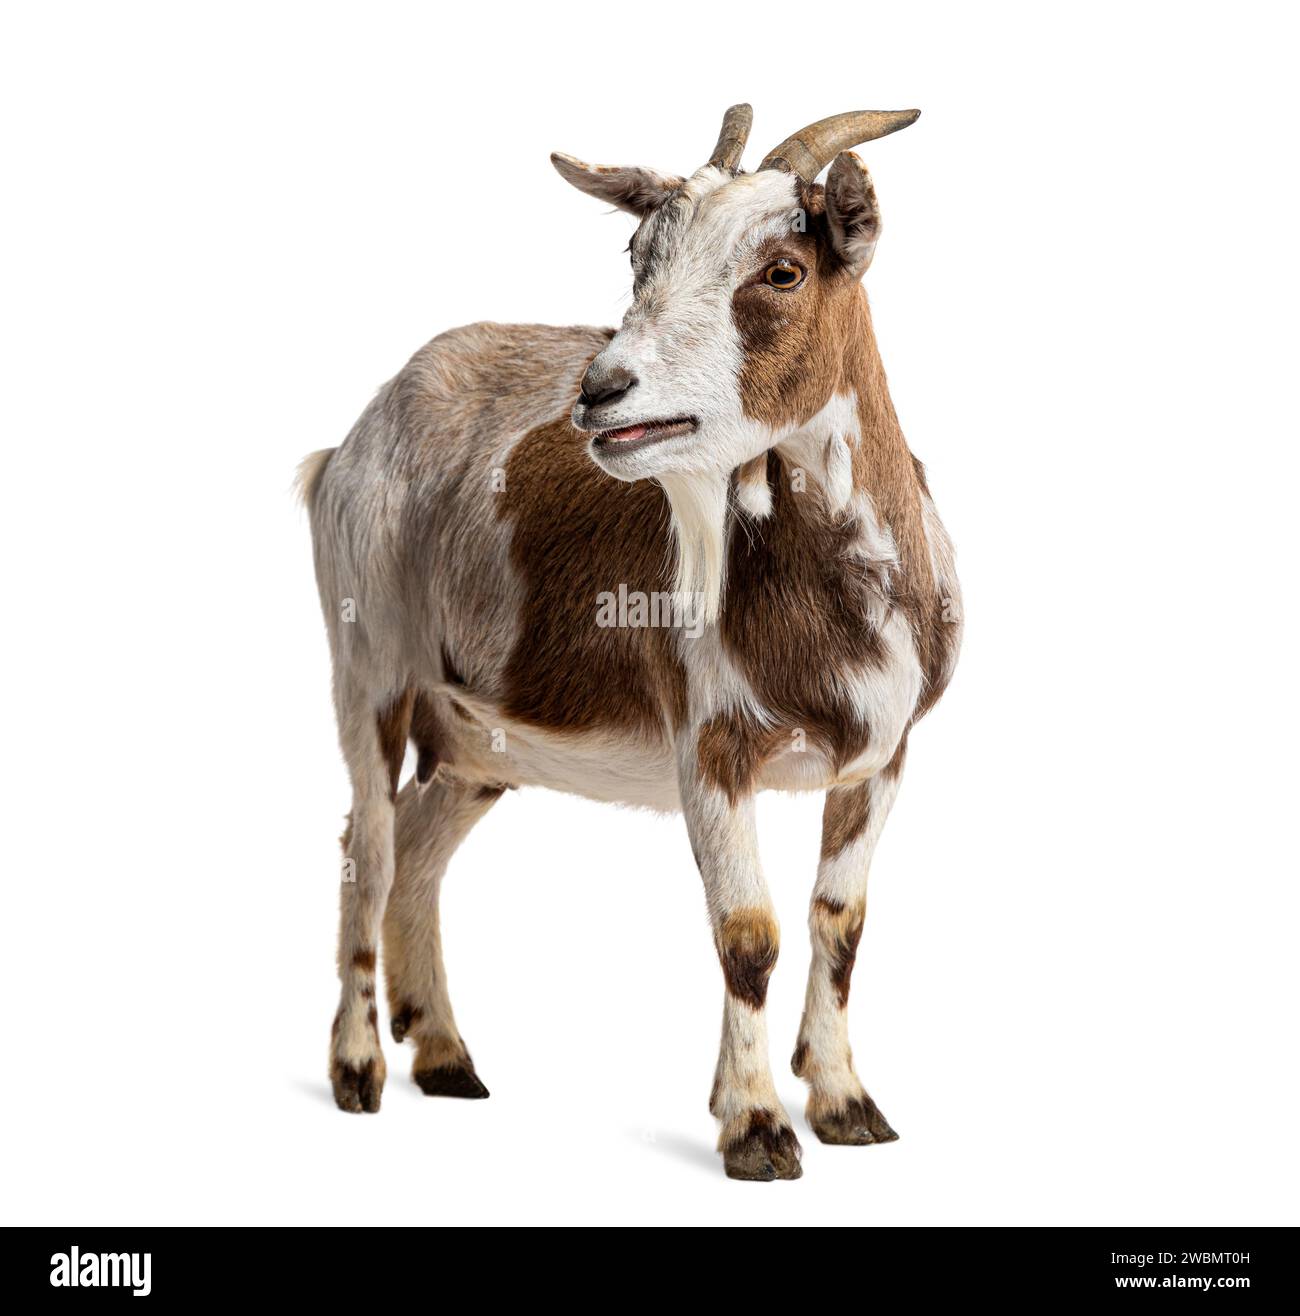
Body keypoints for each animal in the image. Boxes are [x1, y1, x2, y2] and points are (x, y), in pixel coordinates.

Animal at [300, 105, 961, 1181]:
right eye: (638, 255)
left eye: (784, 269)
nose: (604, 390)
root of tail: (349, 444)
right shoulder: (709, 741)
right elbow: (748, 933)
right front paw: (757, 1129)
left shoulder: (886, 754)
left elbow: (840, 923)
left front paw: (845, 1103)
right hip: (370, 661)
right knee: (371, 840)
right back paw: (358, 1068)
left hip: (480, 737)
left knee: (422, 844)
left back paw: (443, 1053)